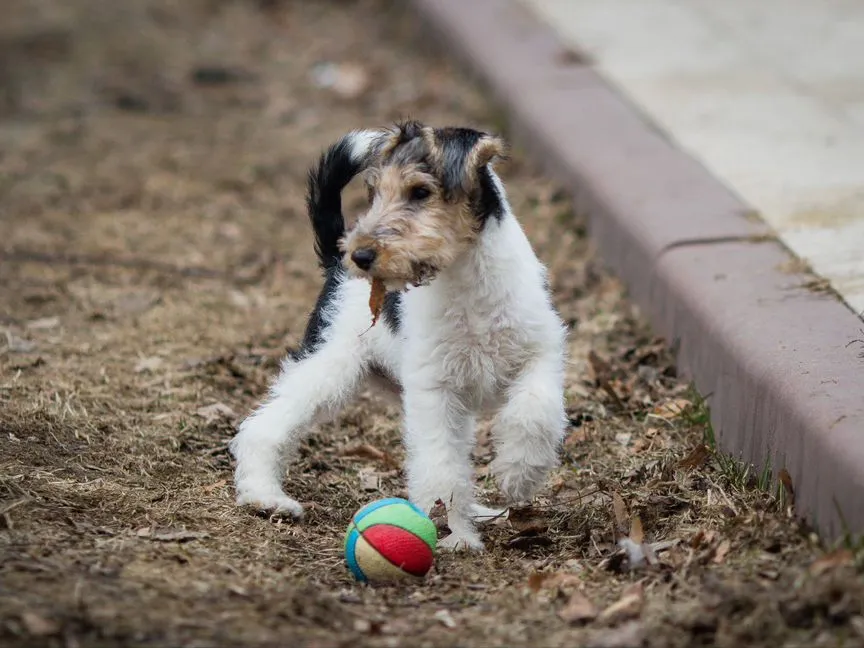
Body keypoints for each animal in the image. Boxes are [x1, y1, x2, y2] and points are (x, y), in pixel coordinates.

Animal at [226, 119, 572, 548]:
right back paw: (266, 497)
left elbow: (536, 412)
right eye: (375, 192)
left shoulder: (540, 354)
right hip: (328, 363)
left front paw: (518, 476)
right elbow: (440, 467)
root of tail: (336, 265)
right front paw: (455, 536)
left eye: (420, 192)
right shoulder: (433, 389)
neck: (466, 283)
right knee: (265, 426)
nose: (361, 255)